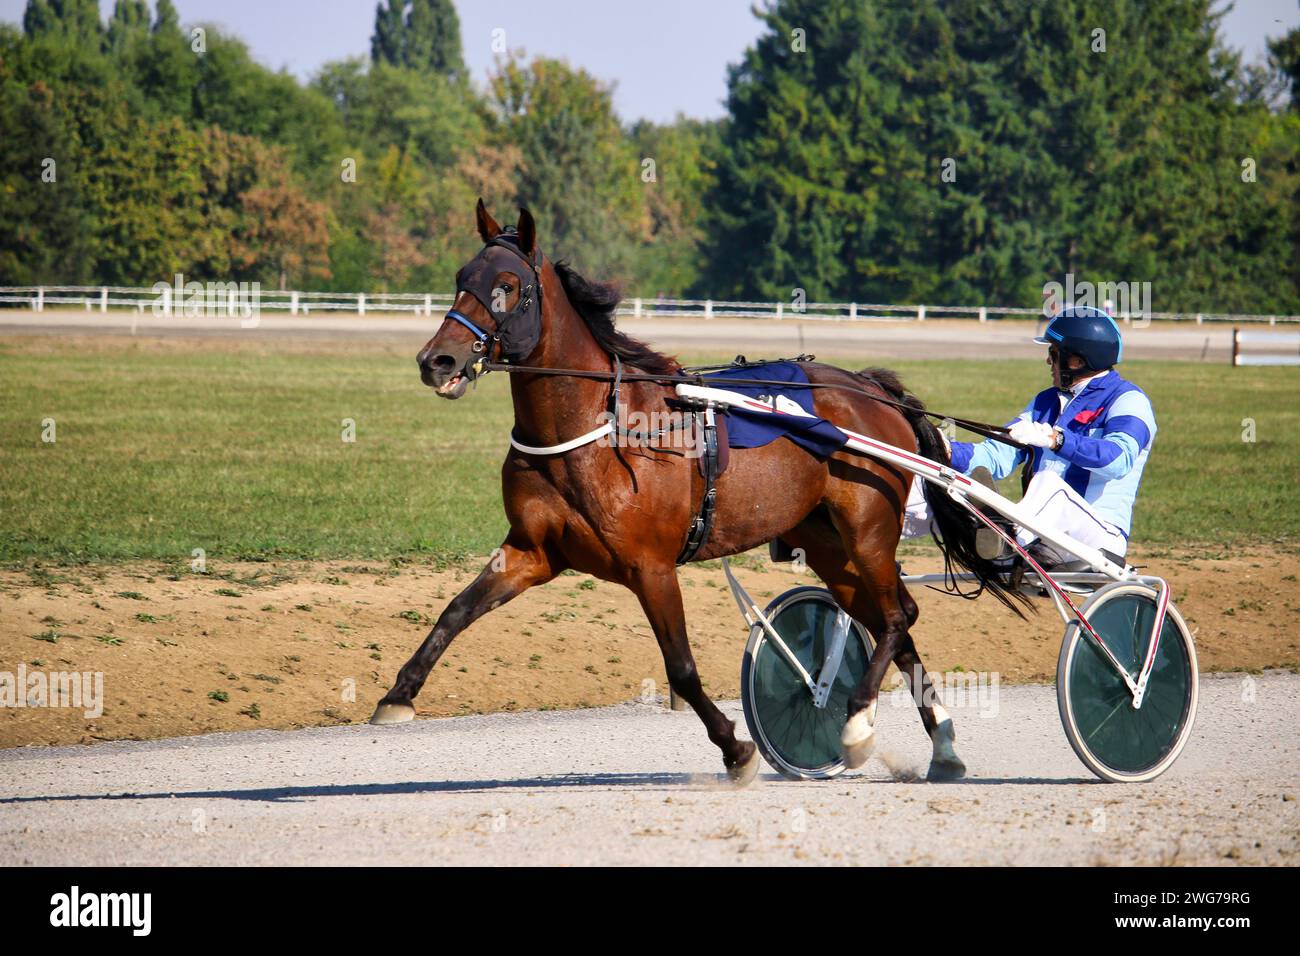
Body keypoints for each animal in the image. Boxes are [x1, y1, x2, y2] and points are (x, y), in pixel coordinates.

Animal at [370, 200, 1021, 783]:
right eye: (461, 279)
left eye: (507, 285)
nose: (437, 359)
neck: (599, 428)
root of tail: (869, 386)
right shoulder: (533, 552)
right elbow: (456, 610)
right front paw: (399, 693)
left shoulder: (651, 565)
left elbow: (681, 667)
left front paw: (737, 750)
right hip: (828, 544)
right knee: (895, 622)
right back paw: (943, 747)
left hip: (868, 528)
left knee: (896, 615)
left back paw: (858, 725)